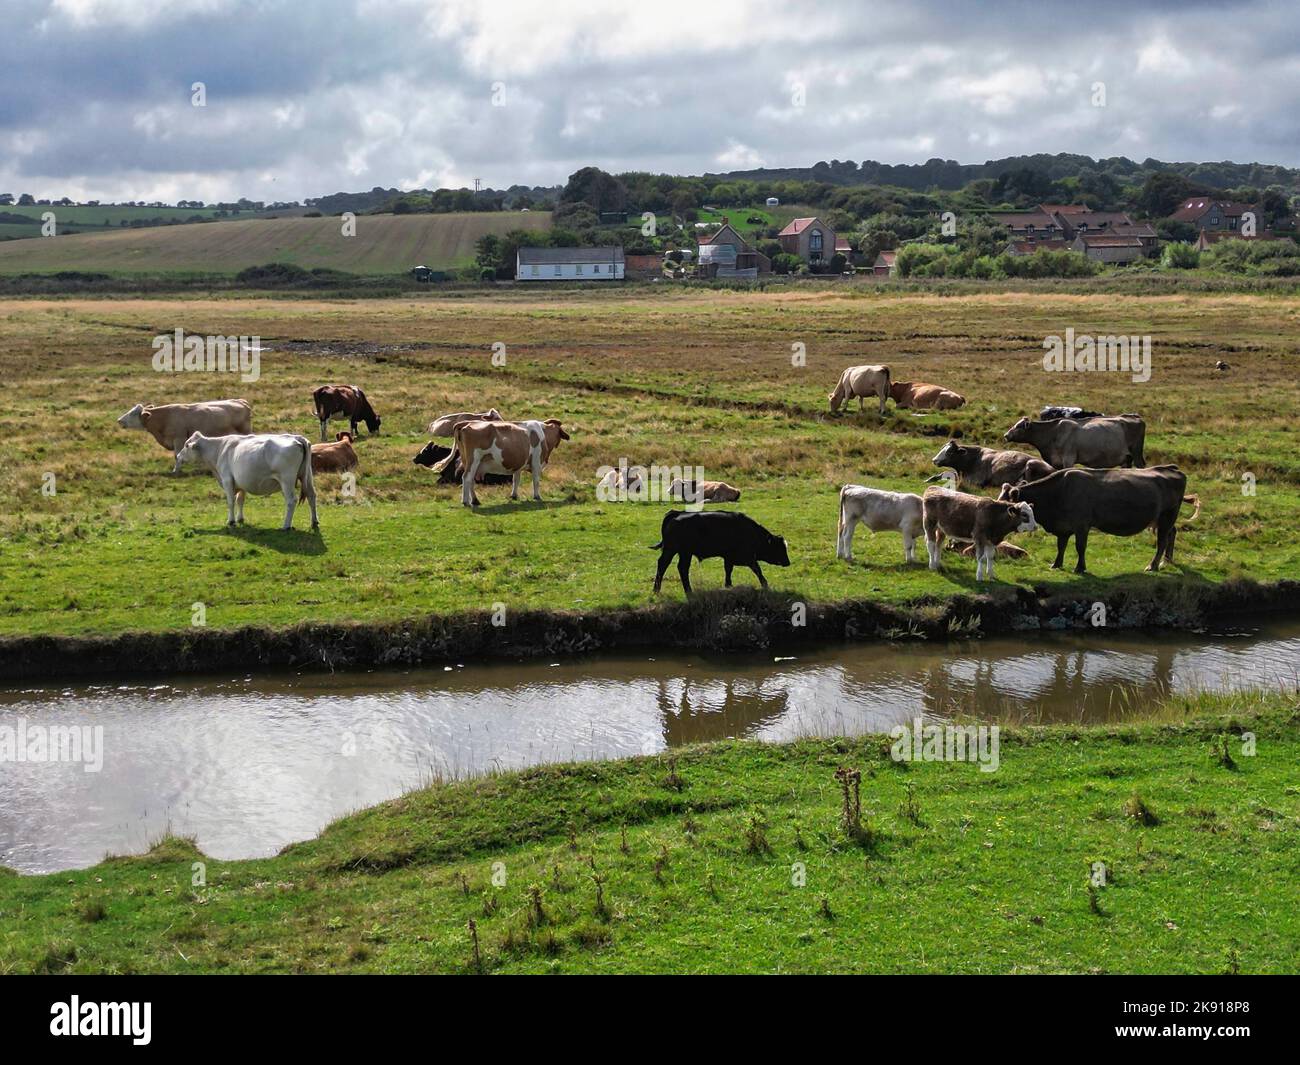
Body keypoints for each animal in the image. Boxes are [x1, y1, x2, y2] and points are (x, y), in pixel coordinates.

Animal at [117, 399, 252, 474]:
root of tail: (241, 401)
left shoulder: (178, 439)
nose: (119, 420)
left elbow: (177, 456)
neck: (165, 417)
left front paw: (176, 471)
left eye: (133, 413)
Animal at [177, 432, 318, 530]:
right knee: (312, 496)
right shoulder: (241, 482)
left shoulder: (227, 479)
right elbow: (240, 500)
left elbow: (231, 501)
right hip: (307, 476)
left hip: (286, 480)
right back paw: (314, 522)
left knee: (291, 501)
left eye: (186, 445)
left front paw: (231, 521)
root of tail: (297, 438)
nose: (178, 456)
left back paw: (286, 526)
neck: (219, 448)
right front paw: (240, 519)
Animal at [651, 510, 790, 595]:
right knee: (669, 566)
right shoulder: (748, 557)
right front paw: (765, 585)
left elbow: (728, 570)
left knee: (675, 567)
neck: (750, 532)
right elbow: (757, 570)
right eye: (779, 548)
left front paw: (728, 585)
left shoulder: (729, 557)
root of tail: (676, 514)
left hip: (681, 552)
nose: (788, 562)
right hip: (676, 550)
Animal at [998, 466, 1200, 574]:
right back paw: (1168, 561)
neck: (1057, 492)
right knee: (1172, 533)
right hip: (1162, 520)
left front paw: (1079, 568)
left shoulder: (1082, 525)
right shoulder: (1063, 527)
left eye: (1009, 502)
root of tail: (1172, 468)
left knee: (1162, 540)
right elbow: (1061, 546)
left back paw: (1153, 565)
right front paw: (1056, 564)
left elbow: (1080, 547)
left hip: (1167, 516)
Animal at [1004, 413, 1145, 469]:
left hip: (1137, 454)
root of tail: (1135, 417)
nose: (1006, 435)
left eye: (1018, 426)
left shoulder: (1068, 459)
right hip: (1127, 459)